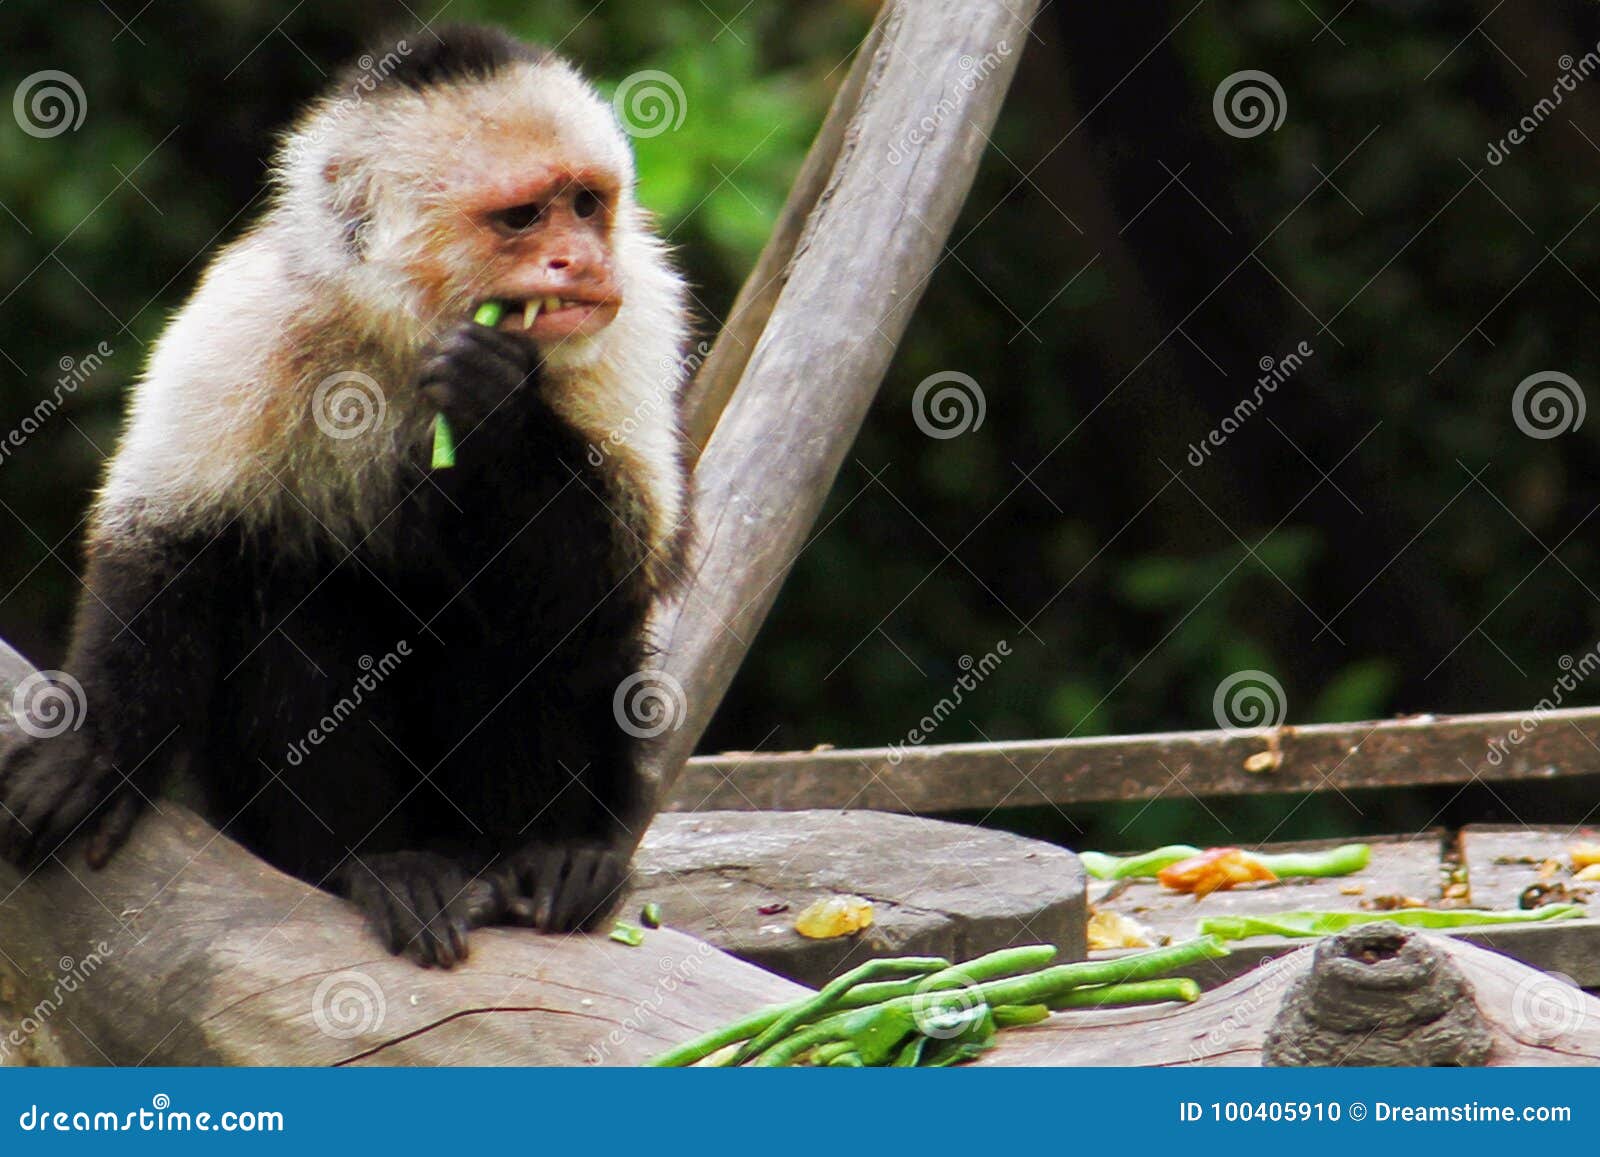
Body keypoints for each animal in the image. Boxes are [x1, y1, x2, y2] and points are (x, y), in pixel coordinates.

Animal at [0, 25, 693, 967]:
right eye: (522, 218)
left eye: (587, 204)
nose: (581, 260)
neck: (407, 327)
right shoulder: (250, 318)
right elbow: (167, 538)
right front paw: (100, 744)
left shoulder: (635, 314)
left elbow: (617, 577)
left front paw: (497, 405)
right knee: (293, 583)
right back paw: (374, 863)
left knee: (528, 622)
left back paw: (541, 858)